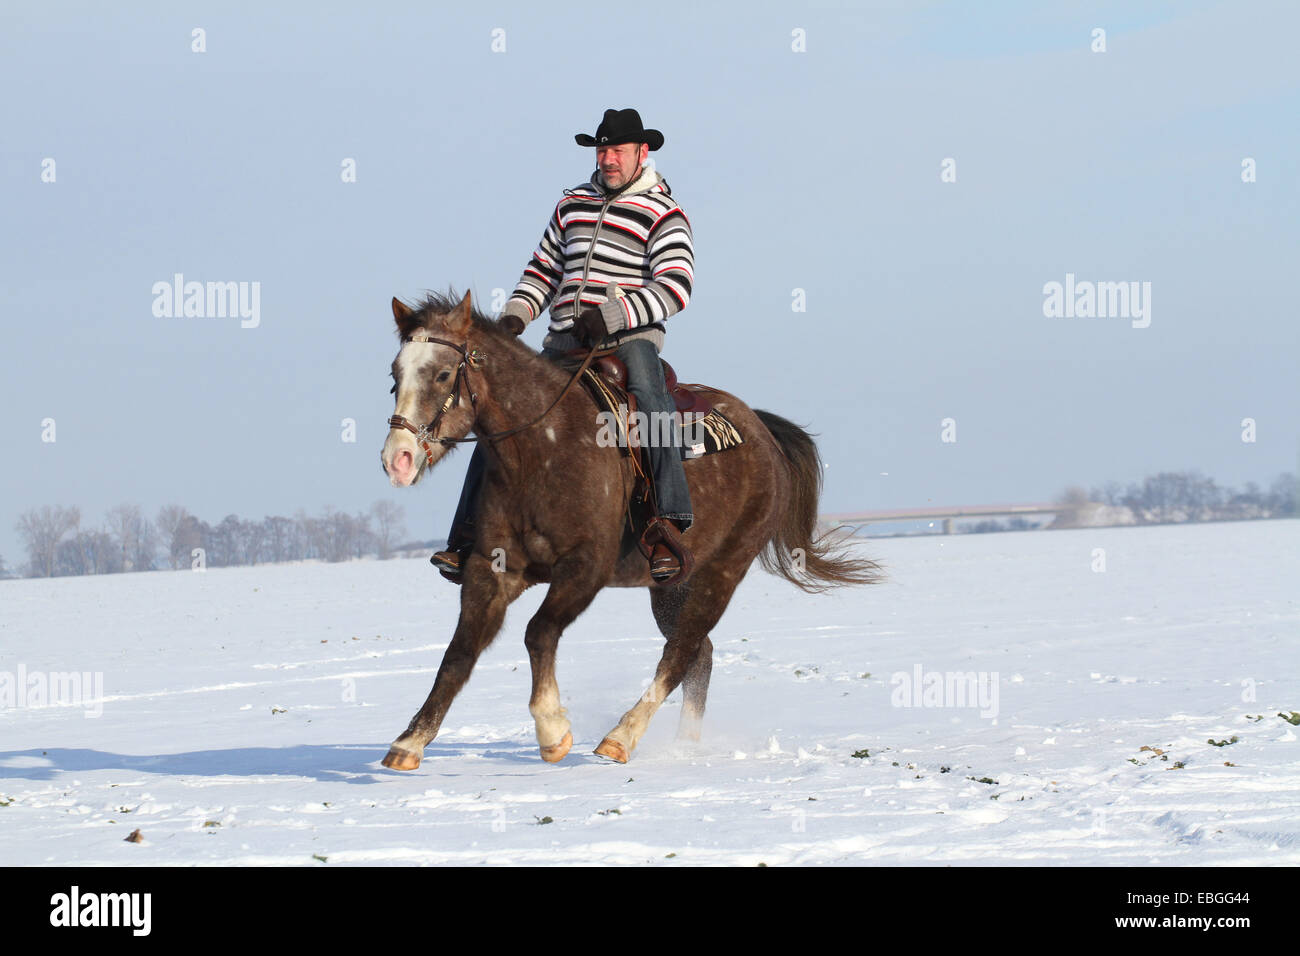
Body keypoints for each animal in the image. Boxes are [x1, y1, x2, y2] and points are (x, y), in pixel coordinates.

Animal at [378, 290, 881, 768]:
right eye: (394, 375)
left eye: (444, 374)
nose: (397, 458)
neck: (542, 449)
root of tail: (763, 433)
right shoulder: (490, 569)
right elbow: (458, 654)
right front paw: (408, 742)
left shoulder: (585, 568)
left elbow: (538, 632)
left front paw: (553, 730)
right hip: (672, 585)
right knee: (699, 654)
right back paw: (684, 745)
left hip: (722, 572)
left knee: (680, 653)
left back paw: (621, 738)